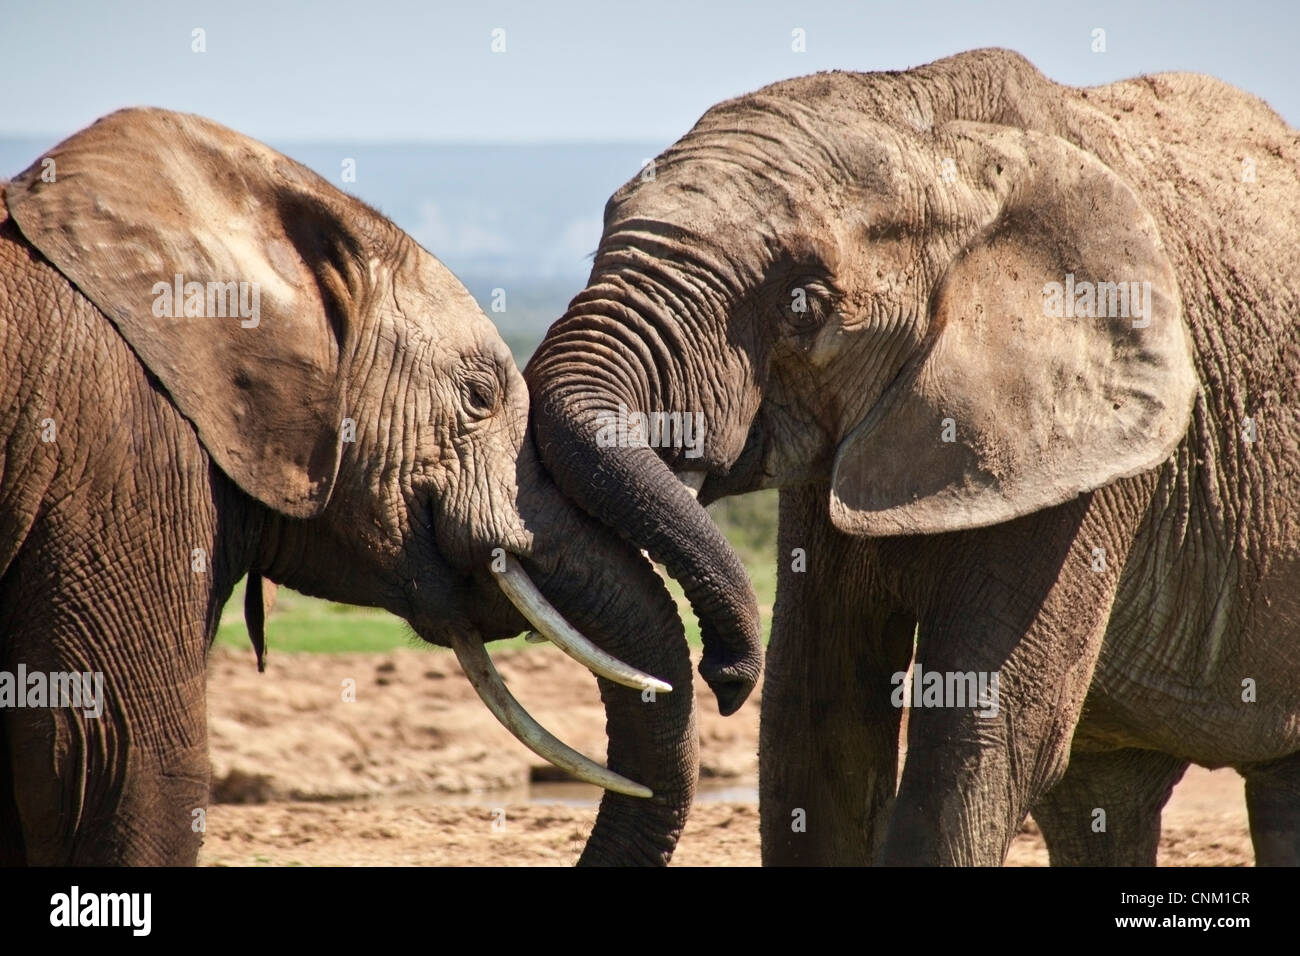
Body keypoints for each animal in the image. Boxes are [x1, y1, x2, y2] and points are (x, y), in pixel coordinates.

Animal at [524, 48, 1300, 865]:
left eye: (803, 304)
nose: (725, 675)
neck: (941, 136)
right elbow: (814, 720)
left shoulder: (1092, 464)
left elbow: (986, 734)